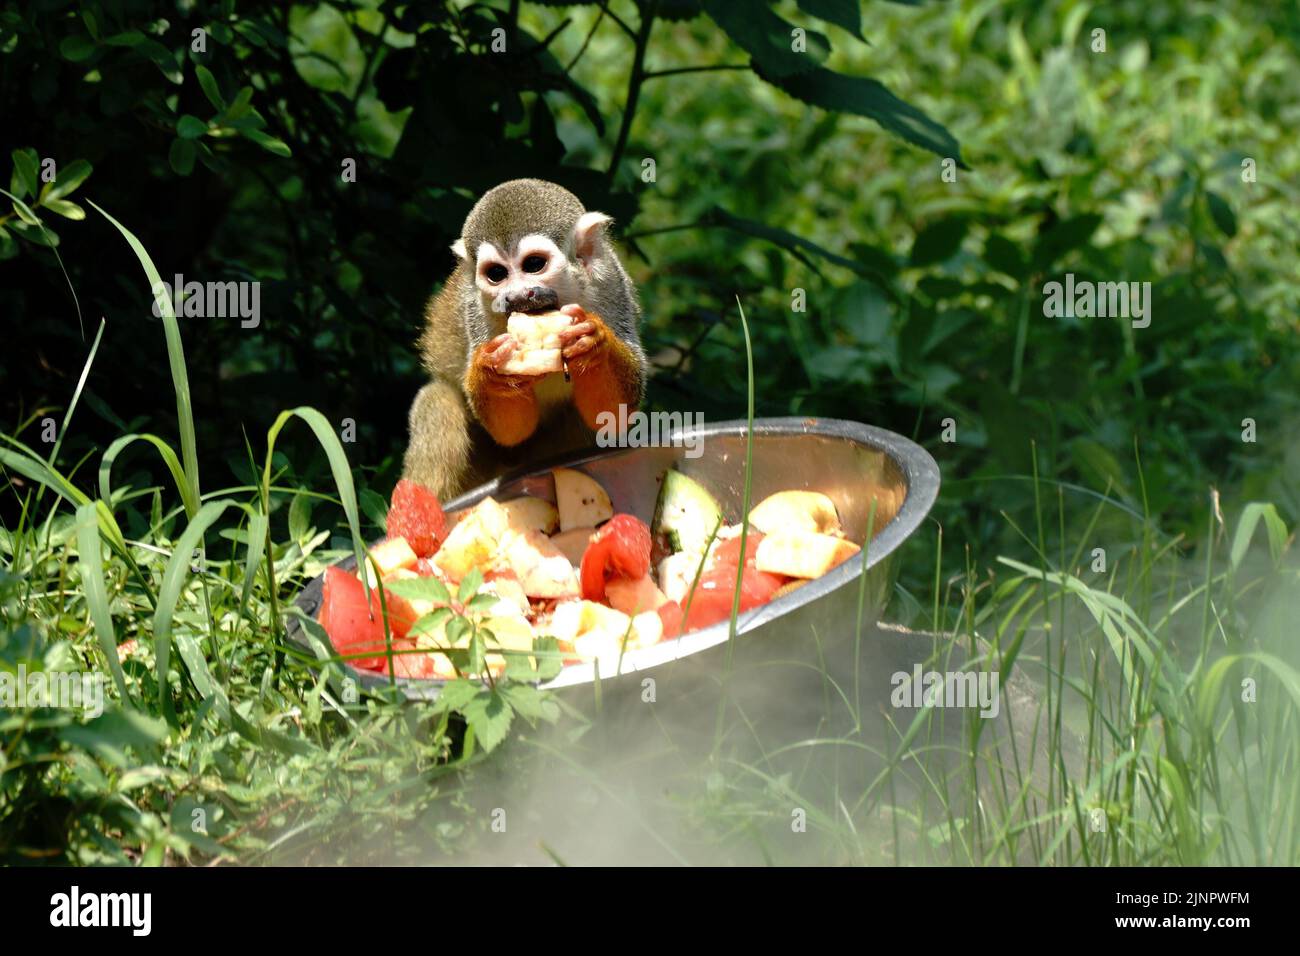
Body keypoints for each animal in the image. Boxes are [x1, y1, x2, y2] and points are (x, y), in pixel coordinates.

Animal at [402, 179, 648, 500]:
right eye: (497, 274)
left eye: (533, 265)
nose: (517, 296)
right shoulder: (475, 310)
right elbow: (510, 430)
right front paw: (492, 373)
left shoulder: (610, 283)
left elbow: (611, 415)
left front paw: (595, 345)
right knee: (438, 401)